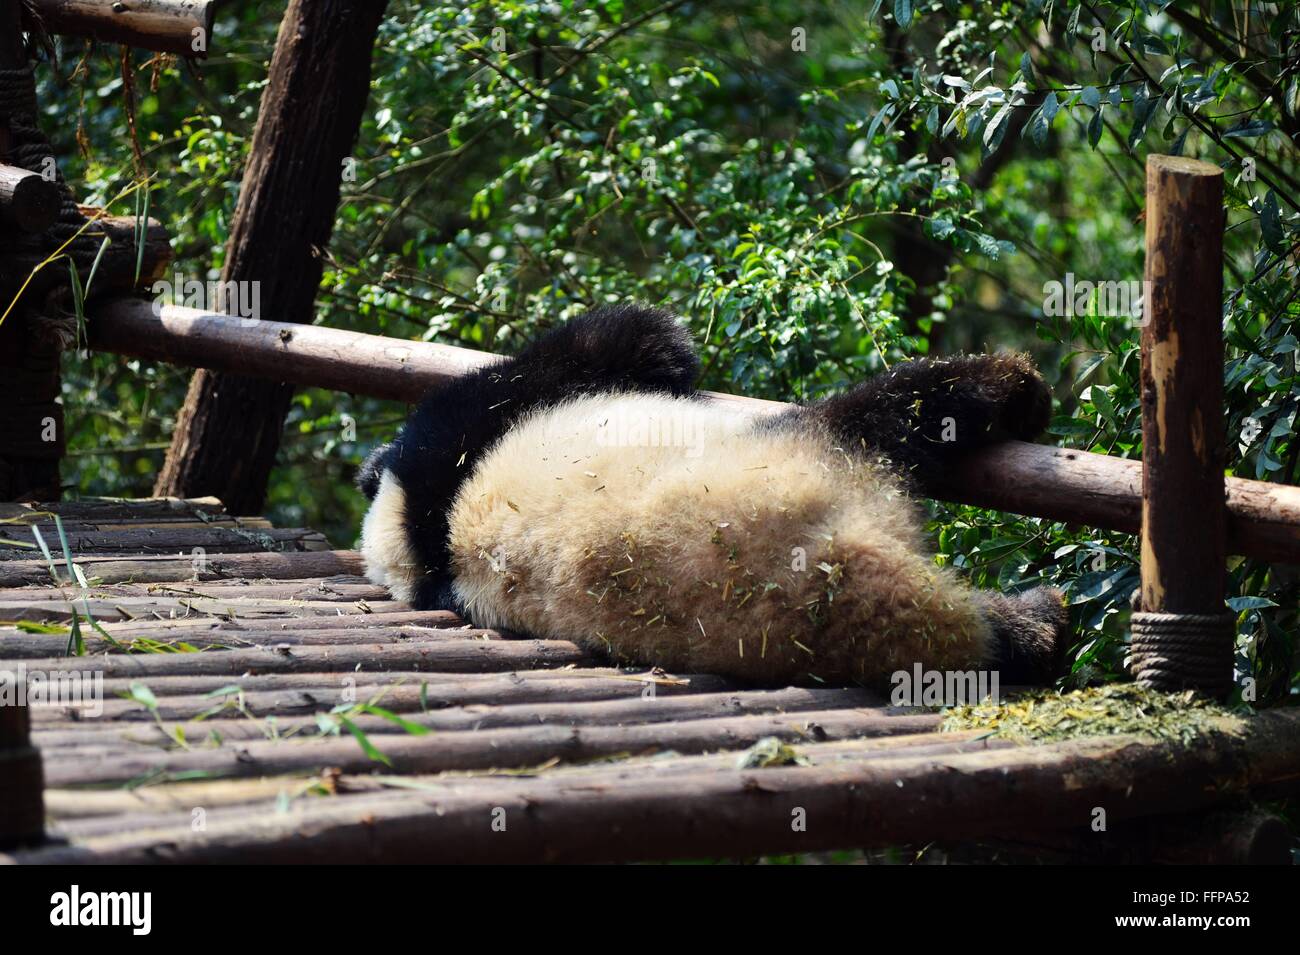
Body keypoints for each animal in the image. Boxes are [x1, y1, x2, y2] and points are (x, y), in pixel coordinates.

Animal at [357, 304, 1067, 690]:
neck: (423, 541)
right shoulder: (462, 429)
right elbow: (623, 344)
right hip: (812, 456)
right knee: (903, 406)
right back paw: (1013, 389)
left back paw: (1029, 627)